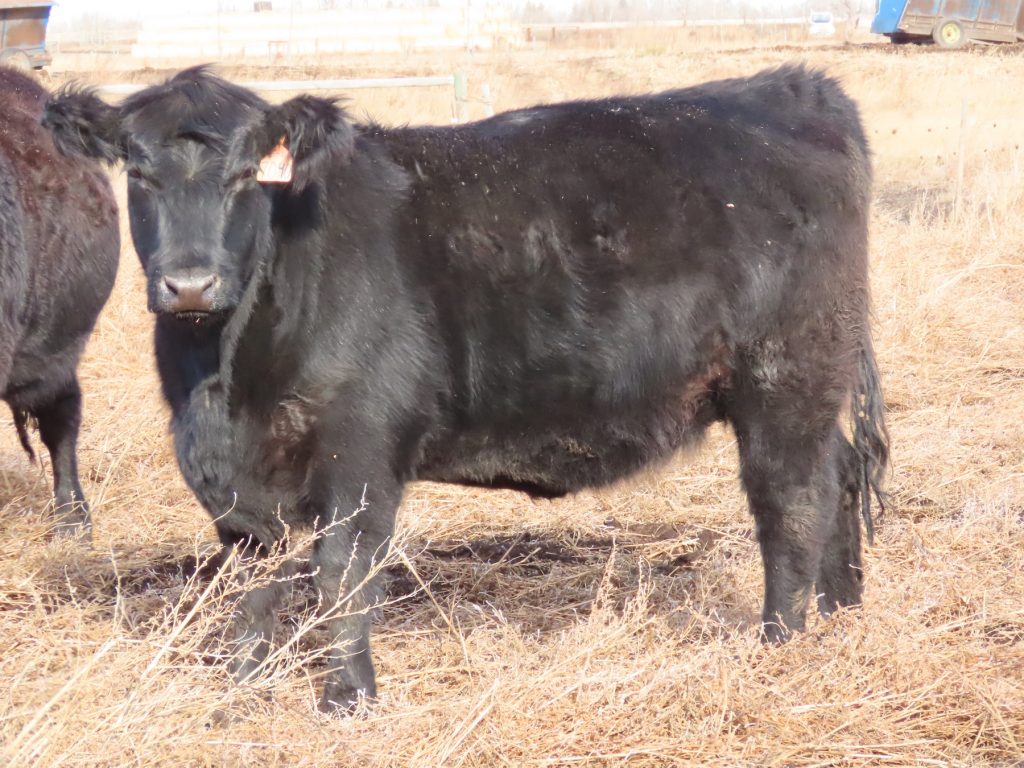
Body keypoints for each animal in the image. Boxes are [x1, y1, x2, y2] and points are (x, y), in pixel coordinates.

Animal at [44, 63, 888, 712]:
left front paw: (346, 698)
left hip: (784, 379)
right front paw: (241, 687)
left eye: (248, 174)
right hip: (811, 389)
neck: (224, 385)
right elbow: (250, 580)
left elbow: (343, 571)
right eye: (138, 172)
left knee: (793, 500)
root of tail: (791, 87)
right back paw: (842, 610)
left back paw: (782, 639)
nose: (190, 282)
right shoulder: (242, 483)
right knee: (842, 474)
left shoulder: (360, 447)